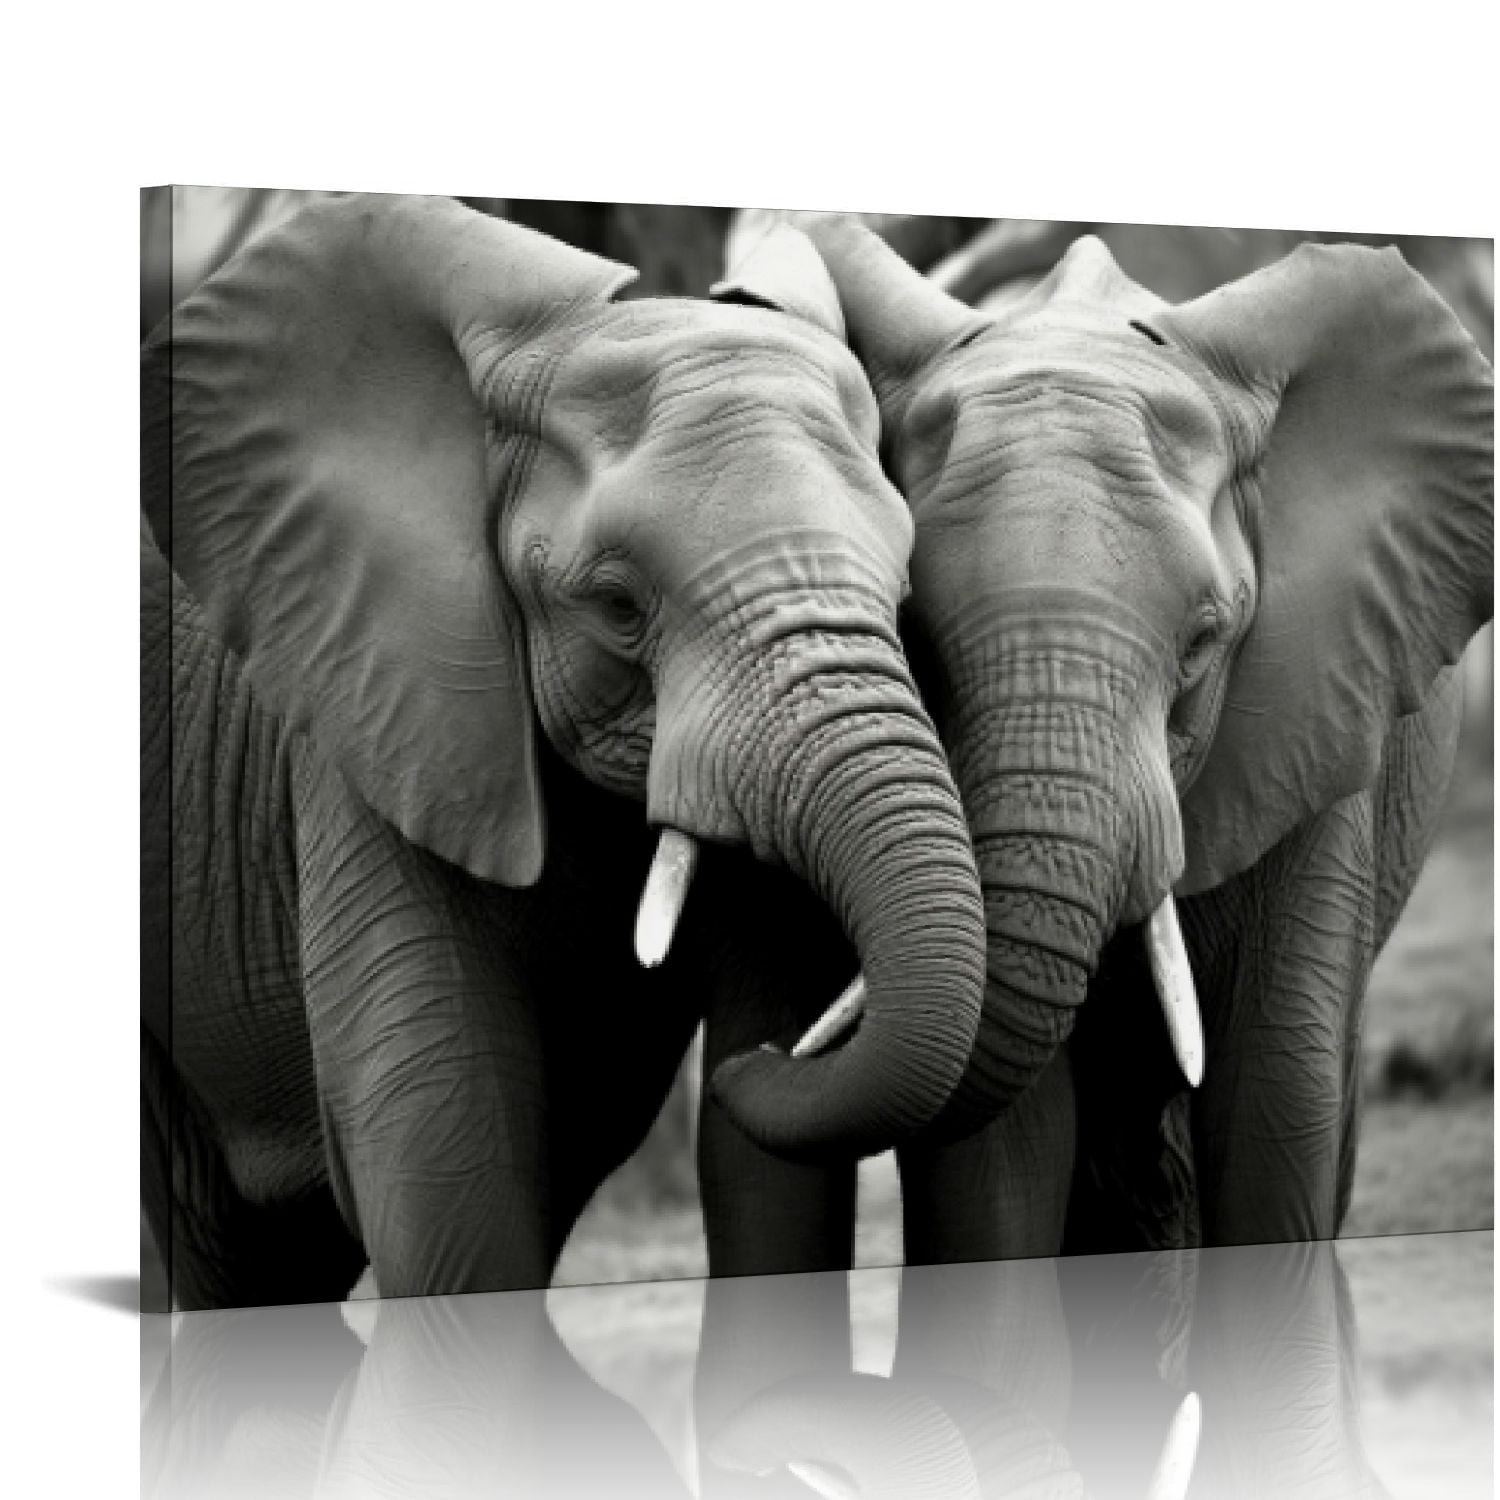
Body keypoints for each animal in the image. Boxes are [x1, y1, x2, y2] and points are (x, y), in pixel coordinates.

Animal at [140, 192, 994, 1309]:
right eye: (617, 607)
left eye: (902, 592)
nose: (769, 1058)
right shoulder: (375, 712)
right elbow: (446, 1150)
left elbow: (763, 1186)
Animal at [726, 213, 1493, 1258]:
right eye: (914, 628)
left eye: (1205, 640)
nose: (751, 1057)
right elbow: (1000, 1158)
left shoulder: (1323, 714)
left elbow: (1277, 1100)